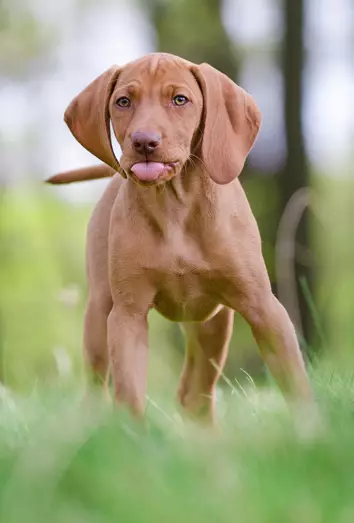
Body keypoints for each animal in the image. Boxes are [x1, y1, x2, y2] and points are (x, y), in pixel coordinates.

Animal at [47, 52, 312, 422]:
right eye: (123, 102)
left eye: (180, 100)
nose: (144, 142)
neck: (176, 205)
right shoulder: (128, 315)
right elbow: (129, 391)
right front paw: (132, 435)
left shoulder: (263, 307)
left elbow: (294, 380)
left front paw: (312, 429)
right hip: (101, 310)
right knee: (99, 384)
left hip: (212, 326)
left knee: (194, 393)